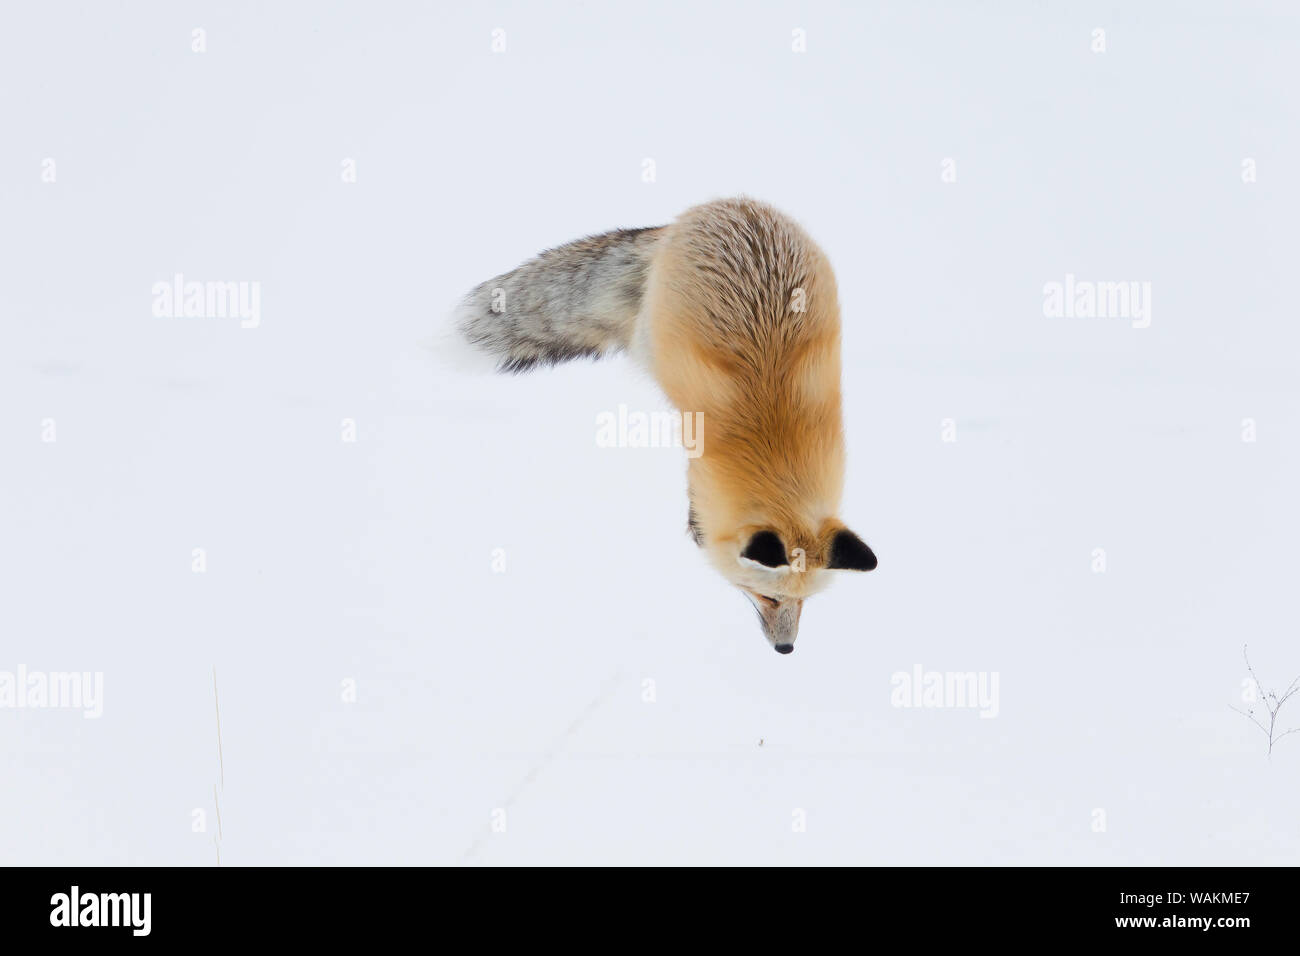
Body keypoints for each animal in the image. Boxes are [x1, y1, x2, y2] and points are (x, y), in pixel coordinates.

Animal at [452, 197, 877, 654]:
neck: (778, 446)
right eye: (767, 595)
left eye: (806, 600)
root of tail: (713, 207)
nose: (786, 650)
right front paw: (694, 530)